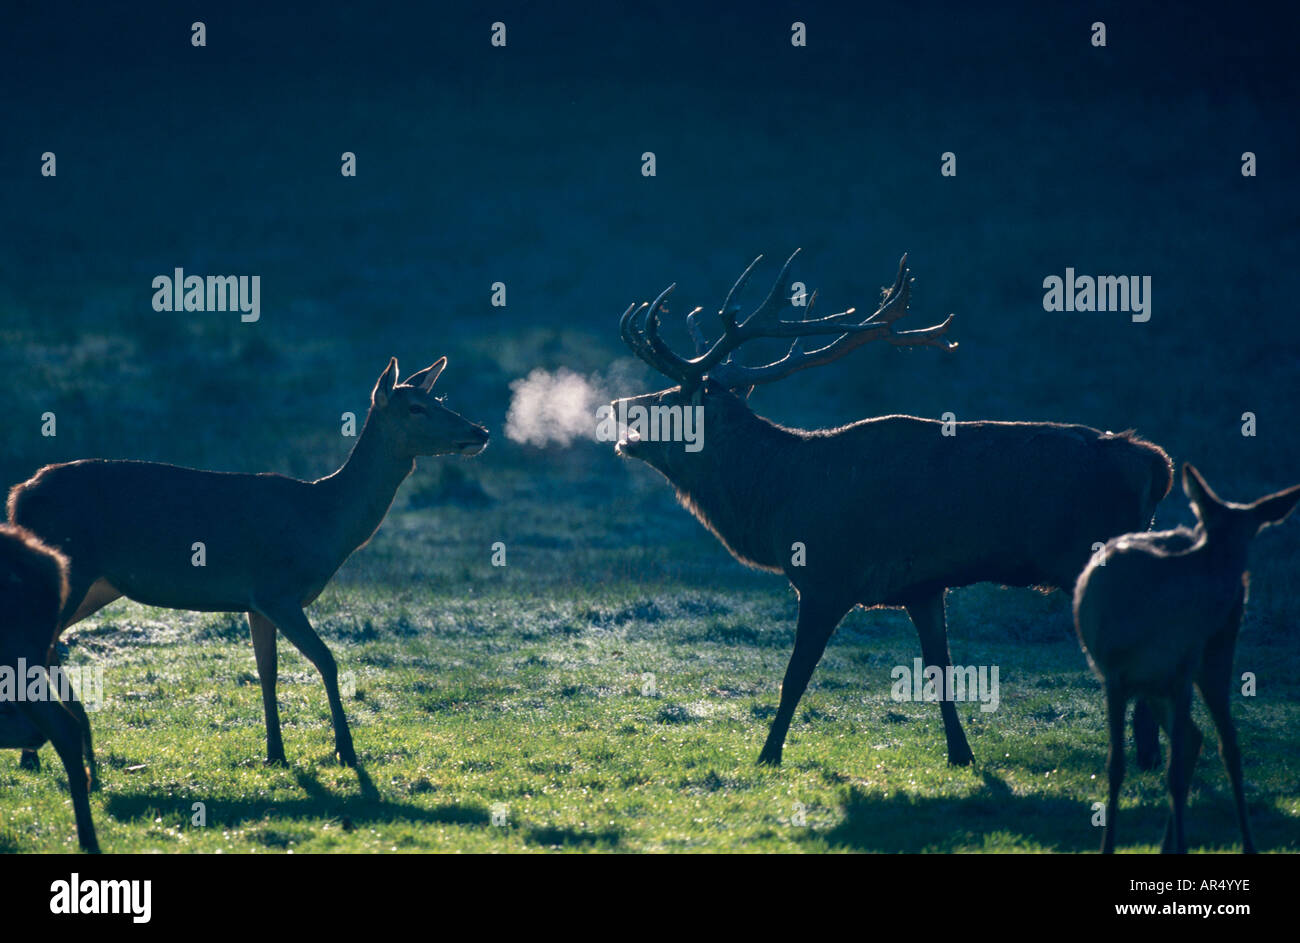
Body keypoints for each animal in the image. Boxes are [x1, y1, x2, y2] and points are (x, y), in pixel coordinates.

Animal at [8, 357, 488, 780]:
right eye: (416, 407)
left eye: (440, 397)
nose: (479, 431)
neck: (323, 520)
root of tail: (18, 495)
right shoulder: (277, 590)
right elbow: (327, 660)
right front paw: (345, 751)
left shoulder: (256, 603)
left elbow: (267, 673)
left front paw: (275, 753)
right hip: (73, 571)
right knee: (38, 645)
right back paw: (47, 750)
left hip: (98, 585)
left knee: (48, 646)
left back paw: (57, 747)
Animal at [610, 250, 1173, 767]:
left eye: (673, 397)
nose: (620, 405)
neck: (777, 499)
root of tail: (1156, 463)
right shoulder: (922, 587)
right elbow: (941, 672)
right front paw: (961, 755)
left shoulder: (827, 578)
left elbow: (795, 676)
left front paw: (768, 755)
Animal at [1074, 464, 1300, 853]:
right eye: (1214, 533)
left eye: (1250, 536)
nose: (1239, 587)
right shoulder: (1114, 673)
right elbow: (1116, 766)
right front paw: (1107, 845)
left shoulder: (1183, 668)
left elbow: (1174, 772)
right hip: (1165, 680)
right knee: (1199, 739)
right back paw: (1170, 844)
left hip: (1211, 658)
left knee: (1224, 744)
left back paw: (1239, 844)